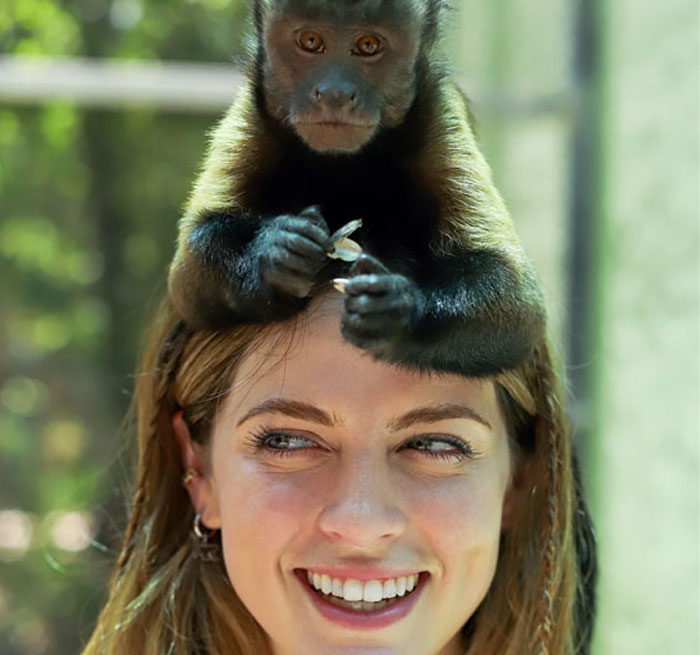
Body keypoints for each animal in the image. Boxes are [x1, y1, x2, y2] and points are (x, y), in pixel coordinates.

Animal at [168, 0, 546, 376]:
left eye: (368, 45)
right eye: (310, 41)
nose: (334, 93)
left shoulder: (438, 112)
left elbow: (519, 303)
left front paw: (399, 310)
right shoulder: (253, 114)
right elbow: (187, 278)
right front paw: (273, 252)